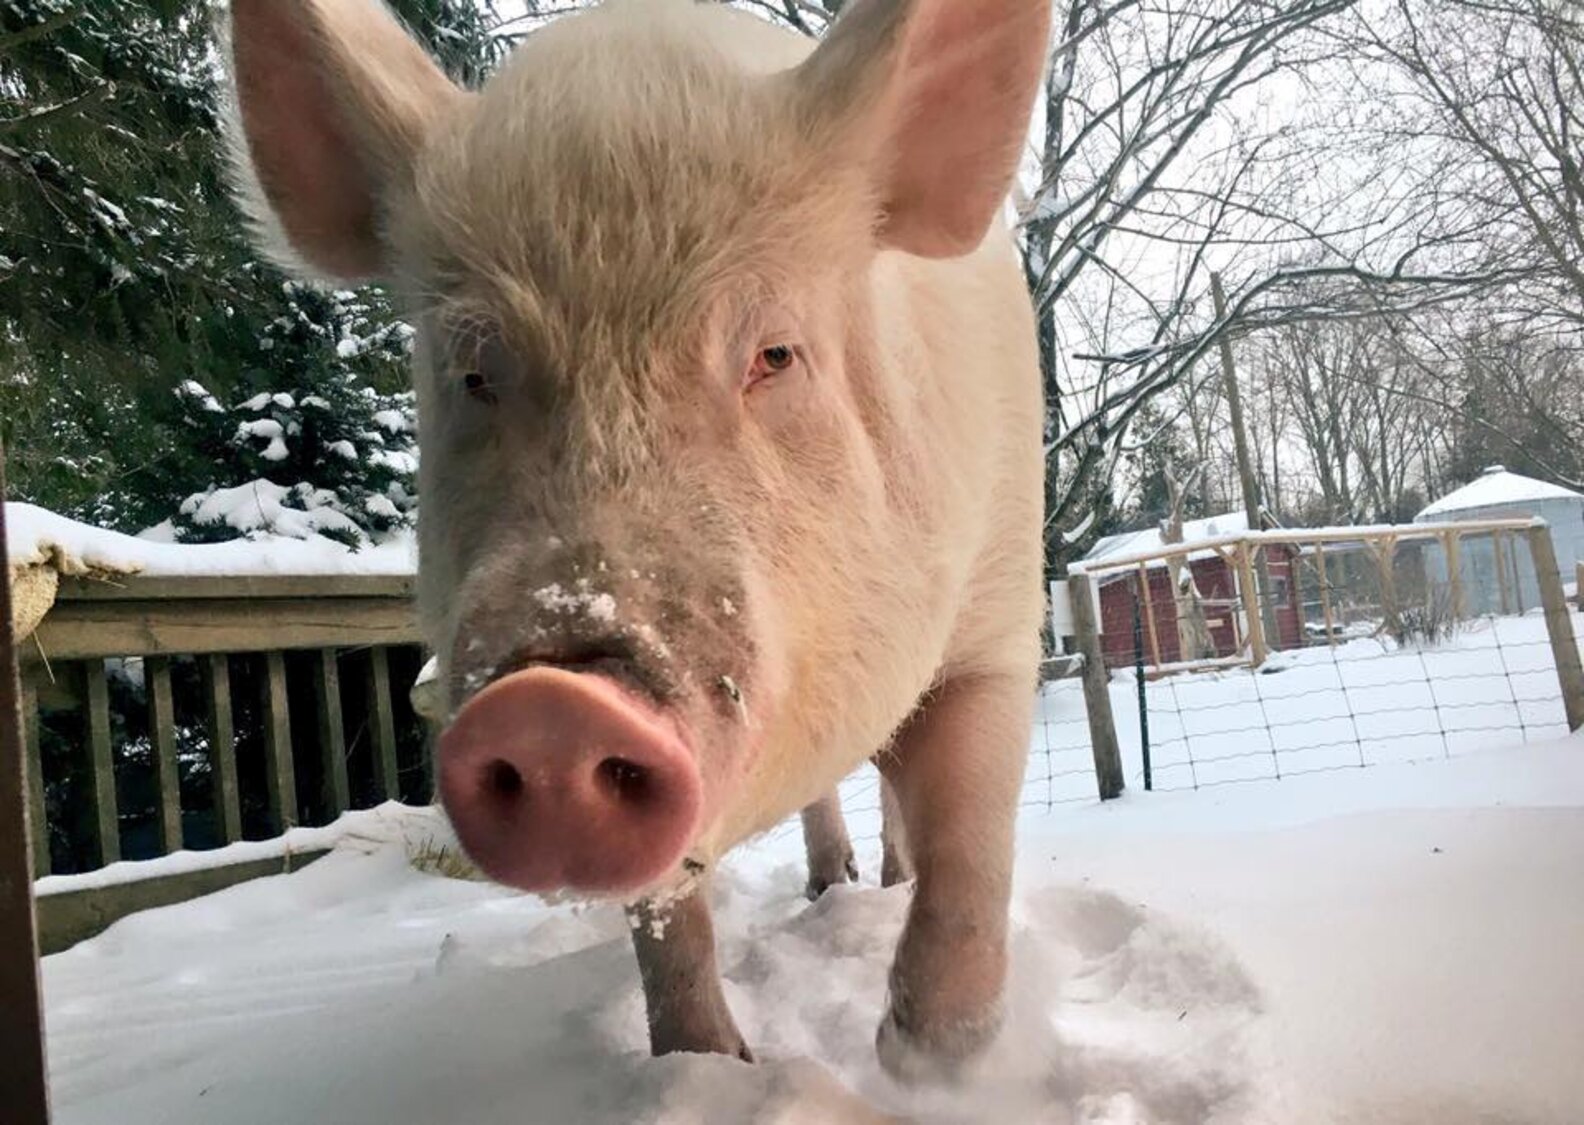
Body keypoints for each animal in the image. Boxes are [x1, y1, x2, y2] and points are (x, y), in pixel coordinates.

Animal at [223, 0, 1049, 1078]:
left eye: (774, 354)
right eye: (473, 375)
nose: (552, 705)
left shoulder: (1002, 608)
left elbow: (972, 834)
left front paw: (927, 1065)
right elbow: (666, 920)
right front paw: (709, 1068)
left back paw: (876, 891)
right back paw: (829, 887)